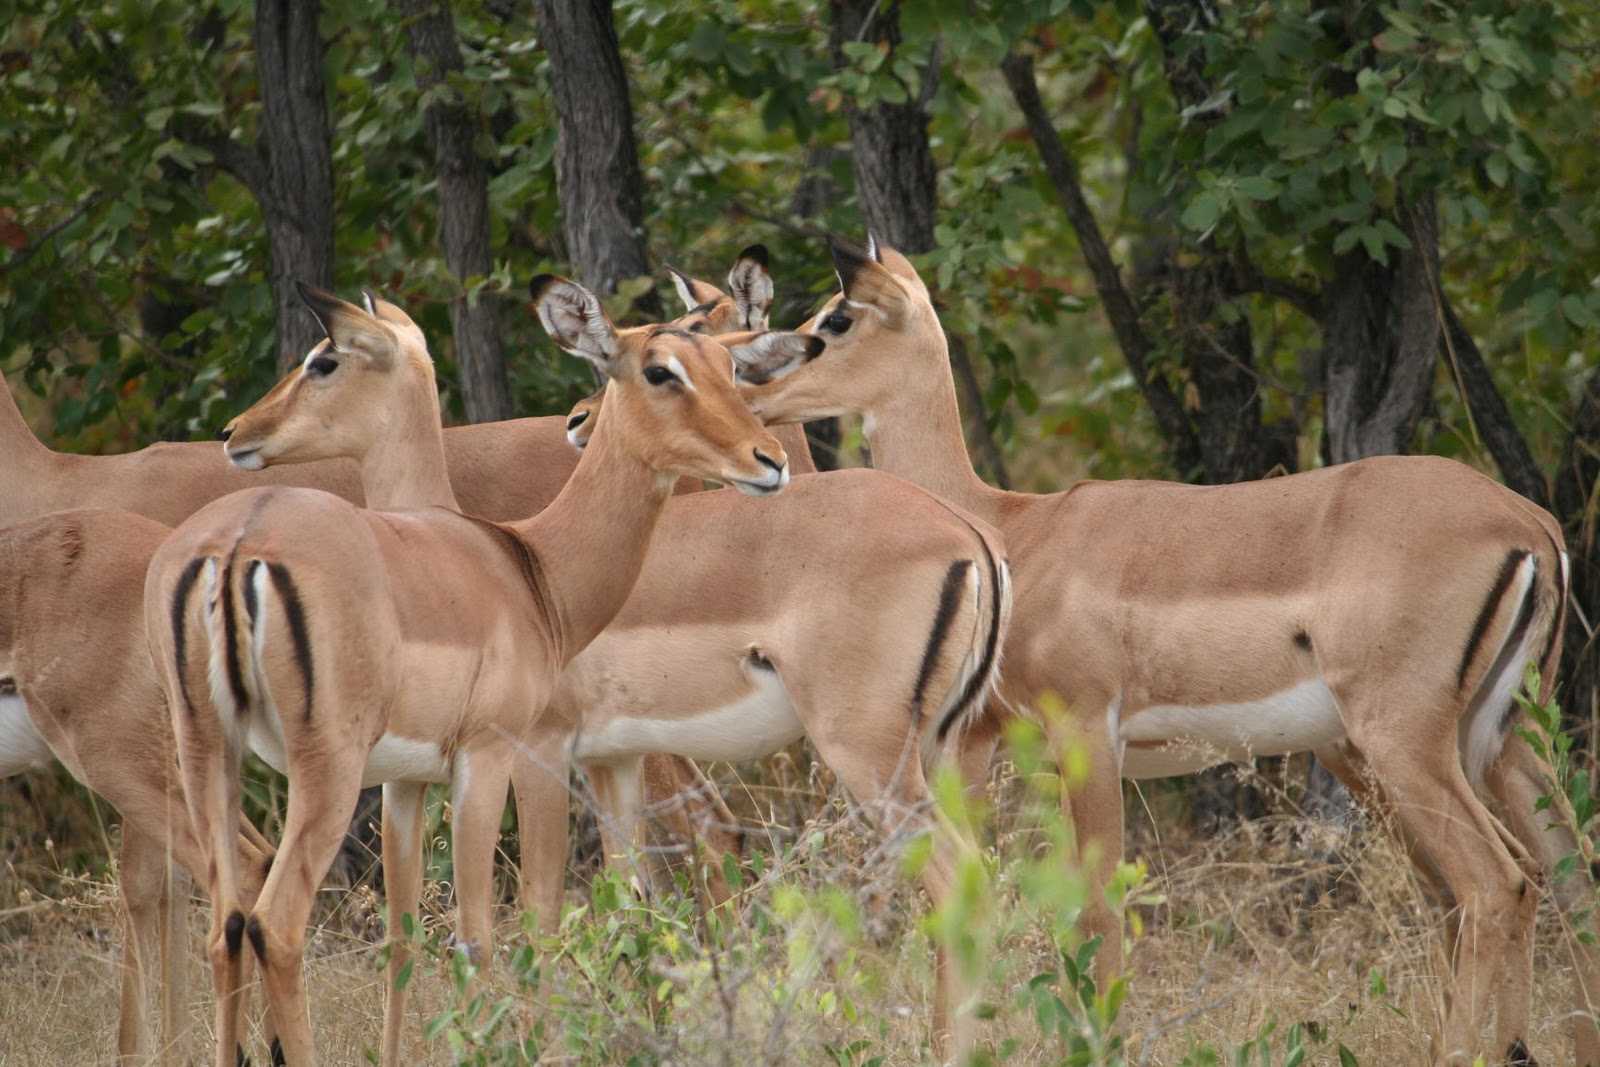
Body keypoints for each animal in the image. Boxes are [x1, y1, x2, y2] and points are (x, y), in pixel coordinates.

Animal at [0, 247, 783, 1060]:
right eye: (661, 370)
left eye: (730, 366)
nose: (768, 459)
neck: (528, 568)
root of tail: (236, 546)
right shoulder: (497, 756)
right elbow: (491, 933)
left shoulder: (412, 780)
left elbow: (414, 937)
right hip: (321, 768)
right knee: (273, 921)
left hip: (203, 749)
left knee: (226, 919)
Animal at [733, 235, 1596, 1067]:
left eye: (836, 319)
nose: (748, 390)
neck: (1014, 528)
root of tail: (1529, 523)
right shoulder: (976, 748)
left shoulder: (1087, 733)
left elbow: (1096, 909)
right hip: (1500, 740)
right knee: (1566, 875)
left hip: (1403, 740)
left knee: (1495, 881)